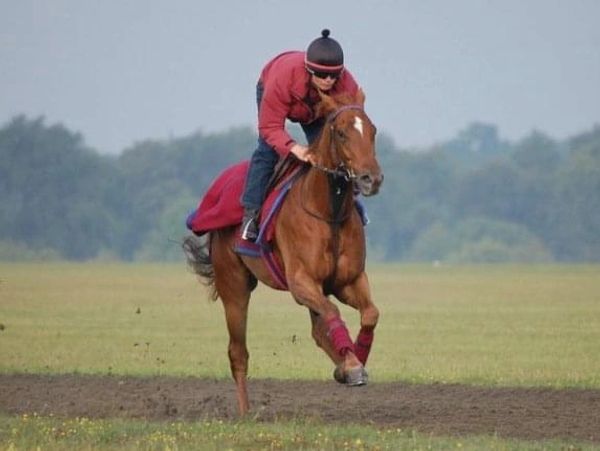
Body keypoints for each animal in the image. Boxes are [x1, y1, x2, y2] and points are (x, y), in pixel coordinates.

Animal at [182, 91, 384, 416]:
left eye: (373, 130)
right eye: (341, 133)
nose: (371, 179)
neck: (328, 212)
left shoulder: (348, 280)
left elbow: (369, 313)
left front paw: (354, 362)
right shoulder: (301, 281)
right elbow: (332, 312)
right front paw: (352, 364)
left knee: (319, 331)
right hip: (234, 286)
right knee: (237, 352)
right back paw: (245, 413)